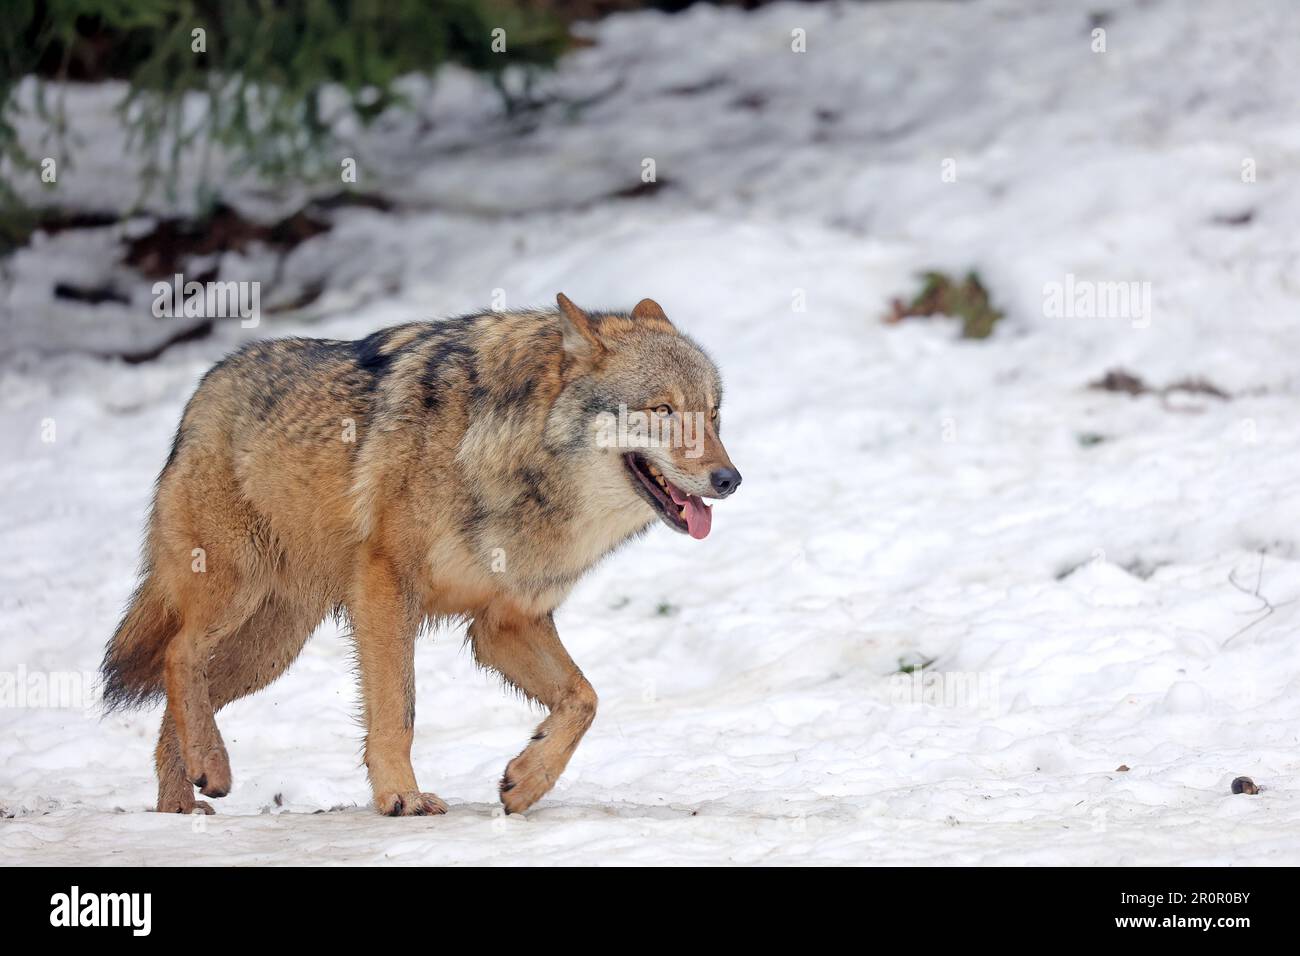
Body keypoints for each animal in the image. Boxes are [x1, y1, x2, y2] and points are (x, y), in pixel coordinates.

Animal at [101, 294, 741, 816]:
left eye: (712, 414)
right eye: (662, 411)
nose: (730, 479)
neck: (512, 459)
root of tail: (206, 387)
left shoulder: (506, 622)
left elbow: (585, 698)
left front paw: (526, 781)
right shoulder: (388, 587)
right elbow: (397, 711)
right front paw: (400, 797)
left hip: (269, 649)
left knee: (179, 696)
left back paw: (183, 801)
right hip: (236, 597)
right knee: (179, 654)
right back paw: (208, 770)